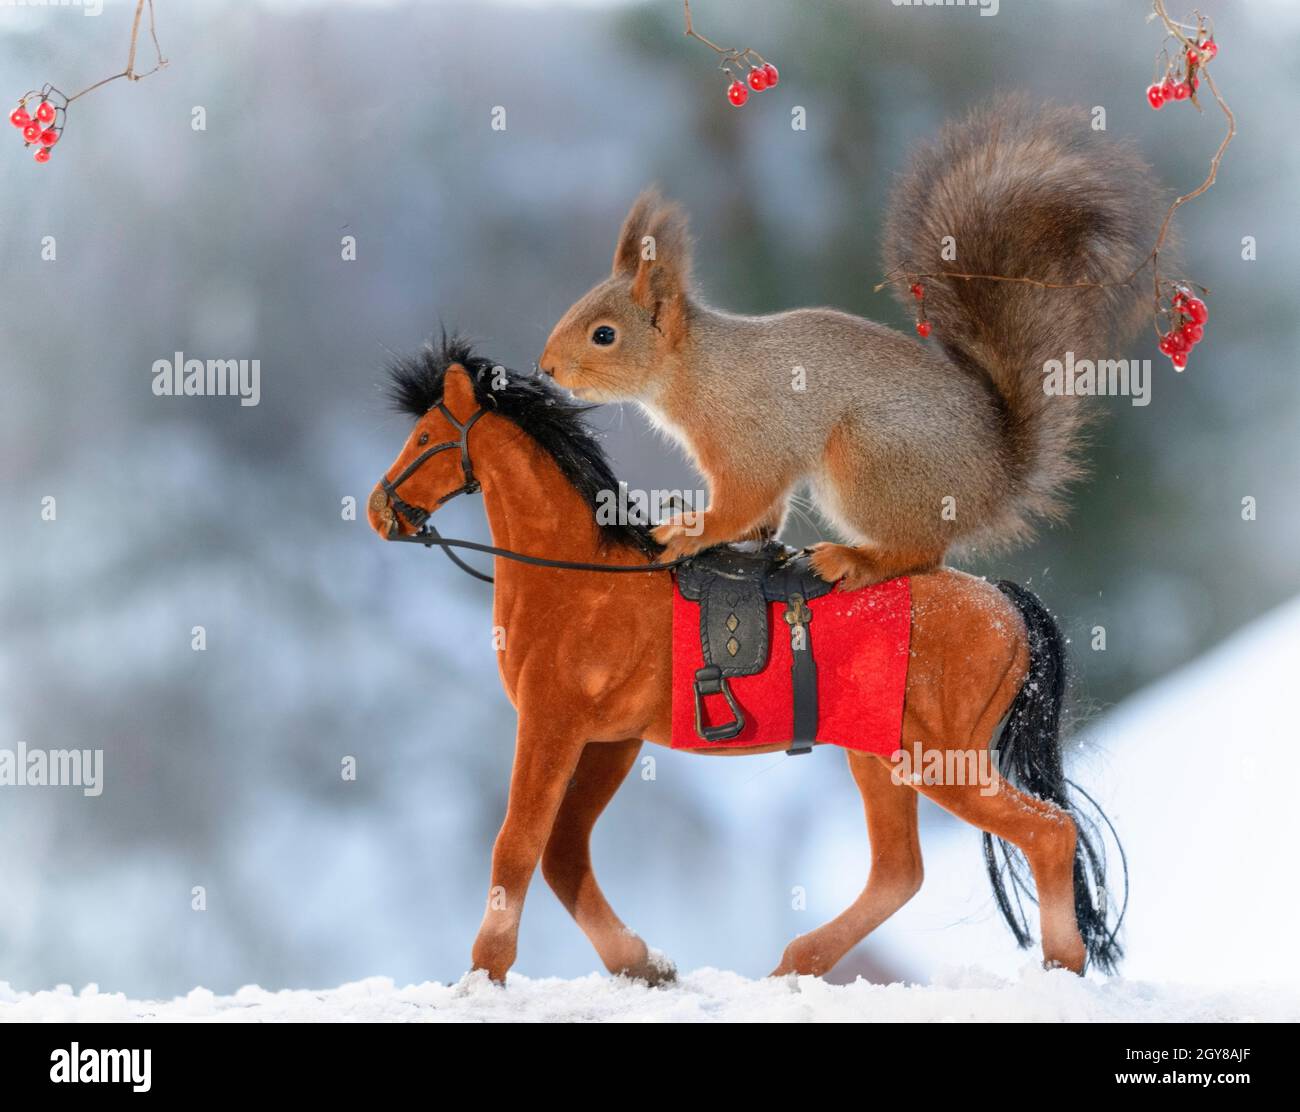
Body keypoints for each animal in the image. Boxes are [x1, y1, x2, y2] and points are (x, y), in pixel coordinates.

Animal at [366, 335, 1122, 985]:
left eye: (426, 439)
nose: (379, 509)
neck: (581, 576)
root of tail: (1002, 601)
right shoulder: (609, 740)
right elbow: (562, 853)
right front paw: (642, 963)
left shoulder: (553, 725)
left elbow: (518, 846)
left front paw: (482, 973)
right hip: (881, 756)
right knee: (899, 873)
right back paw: (795, 965)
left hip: (941, 761)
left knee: (1050, 834)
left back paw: (1061, 967)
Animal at [539, 98, 1161, 588]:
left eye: (604, 335)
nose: (545, 368)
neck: (694, 368)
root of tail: (996, 481)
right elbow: (766, 513)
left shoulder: (747, 438)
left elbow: (745, 496)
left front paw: (694, 530)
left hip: (869, 459)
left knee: (921, 554)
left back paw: (854, 561)